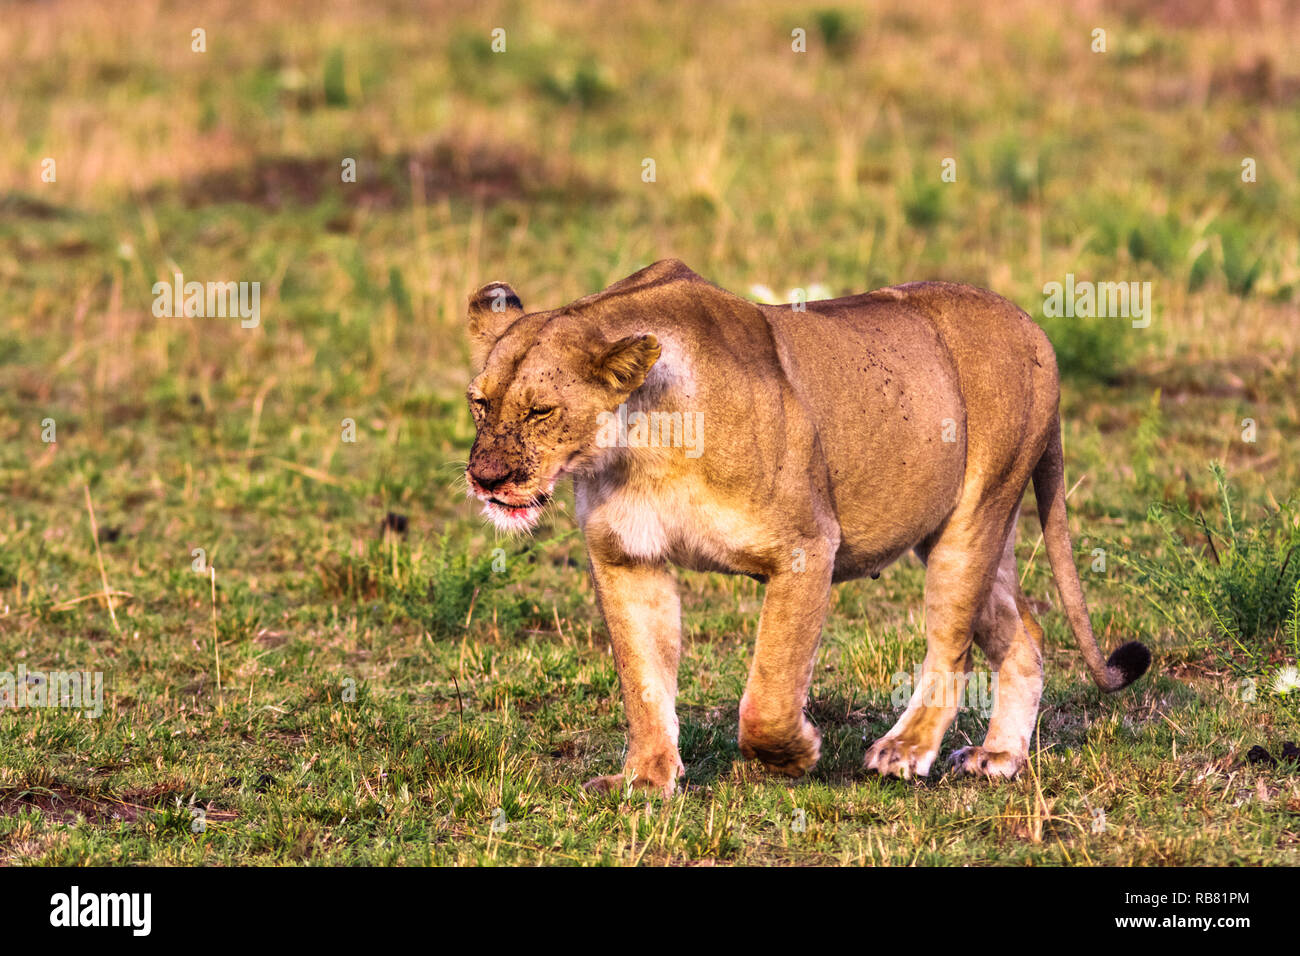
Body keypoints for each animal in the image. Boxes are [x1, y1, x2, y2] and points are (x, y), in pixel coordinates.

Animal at [463, 259, 1150, 795]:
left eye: (542, 410)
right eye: (480, 402)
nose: (486, 479)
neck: (637, 445)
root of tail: (1033, 327)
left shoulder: (805, 546)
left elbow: (770, 687)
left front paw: (795, 756)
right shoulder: (627, 557)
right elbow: (643, 680)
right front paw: (646, 778)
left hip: (974, 520)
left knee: (951, 649)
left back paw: (904, 750)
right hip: (975, 533)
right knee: (1025, 637)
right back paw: (1000, 757)